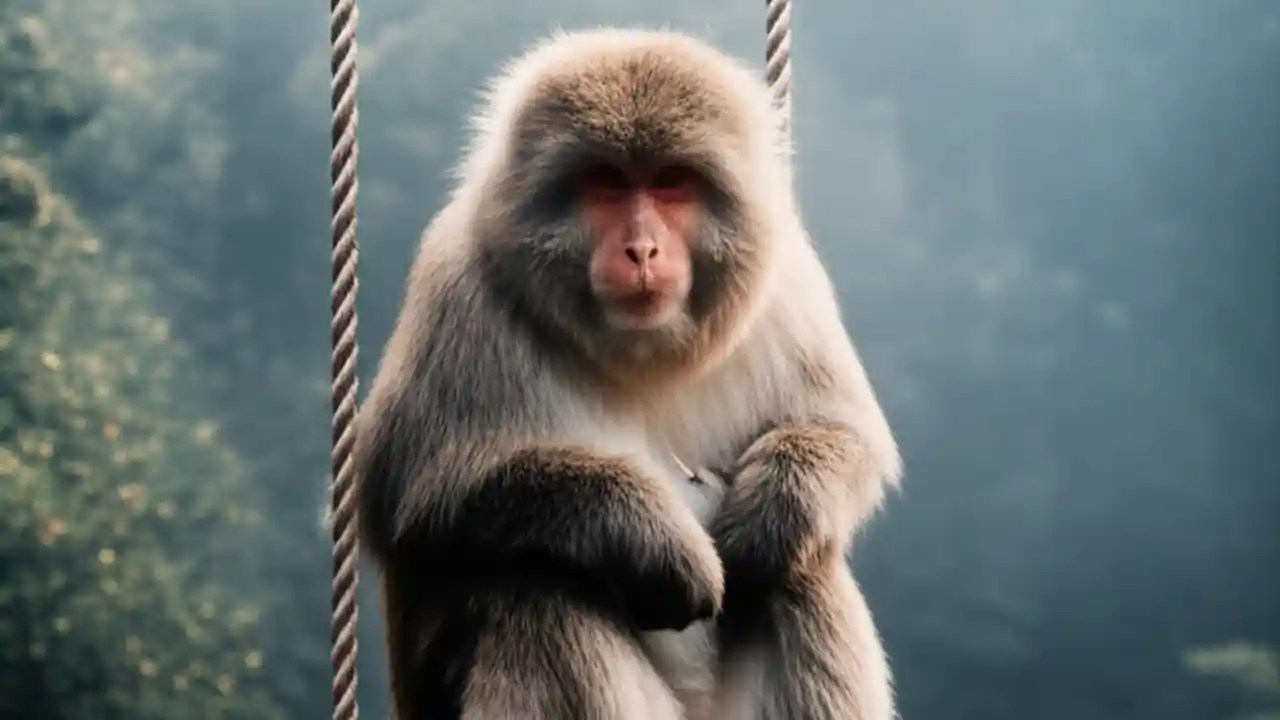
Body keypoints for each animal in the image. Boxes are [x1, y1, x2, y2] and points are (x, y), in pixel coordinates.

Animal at [354, 27, 903, 720]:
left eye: (670, 183)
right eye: (607, 183)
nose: (642, 250)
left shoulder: (787, 285)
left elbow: (845, 433)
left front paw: (775, 507)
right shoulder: (463, 291)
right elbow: (415, 495)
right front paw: (649, 538)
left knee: (803, 567)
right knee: (536, 583)